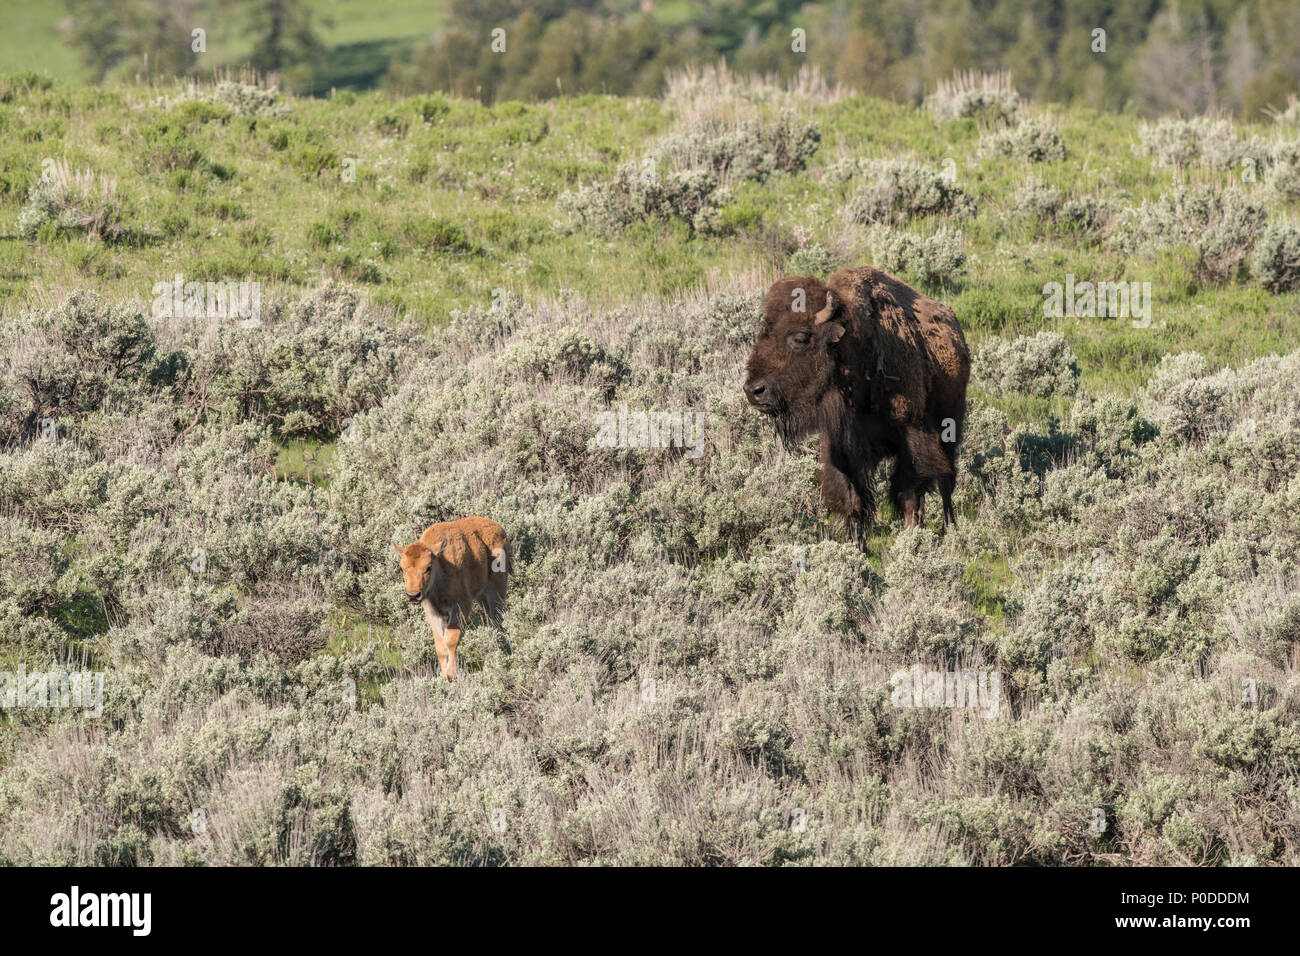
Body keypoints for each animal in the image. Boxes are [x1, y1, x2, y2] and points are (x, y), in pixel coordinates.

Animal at [393, 516, 509, 681]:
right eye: (402, 568)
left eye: (428, 567)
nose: (413, 595)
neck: (441, 567)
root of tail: (499, 529)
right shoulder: (433, 612)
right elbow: (440, 645)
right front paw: (443, 676)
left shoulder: (461, 606)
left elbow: (451, 640)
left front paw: (451, 674)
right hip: (482, 596)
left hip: (497, 589)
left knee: (497, 618)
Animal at [742, 265, 970, 547]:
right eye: (763, 333)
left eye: (800, 338)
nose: (754, 391)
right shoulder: (841, 449)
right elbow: (851, 498)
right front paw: (857, 547)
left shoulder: (914, 436)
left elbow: (910, 492)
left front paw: (911, 537)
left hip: (951, 425)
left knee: (947, 481)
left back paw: (951, 527)